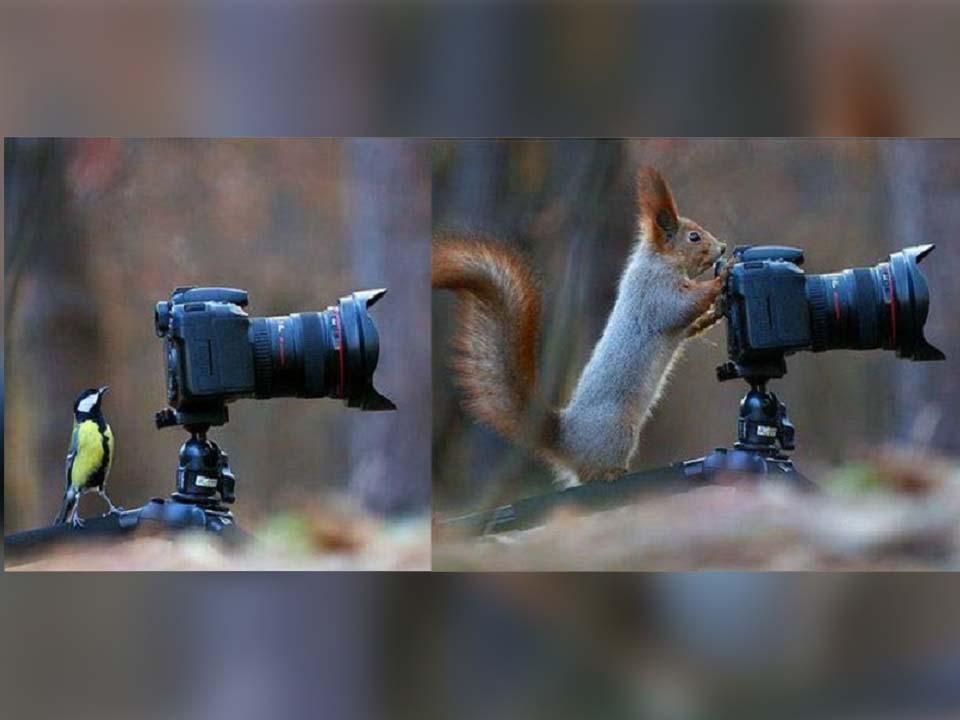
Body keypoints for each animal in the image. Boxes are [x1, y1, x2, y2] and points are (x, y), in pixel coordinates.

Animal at [433, 167, 730, 486]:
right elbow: (679, 307)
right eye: (694, 237)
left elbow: (689, 326)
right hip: (618, 430)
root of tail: (568, 442)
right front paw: (721, 278)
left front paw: (714, 312)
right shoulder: (653, 293)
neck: (659, 260)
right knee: (592, 474)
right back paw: (612, 473)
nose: (723, 247)